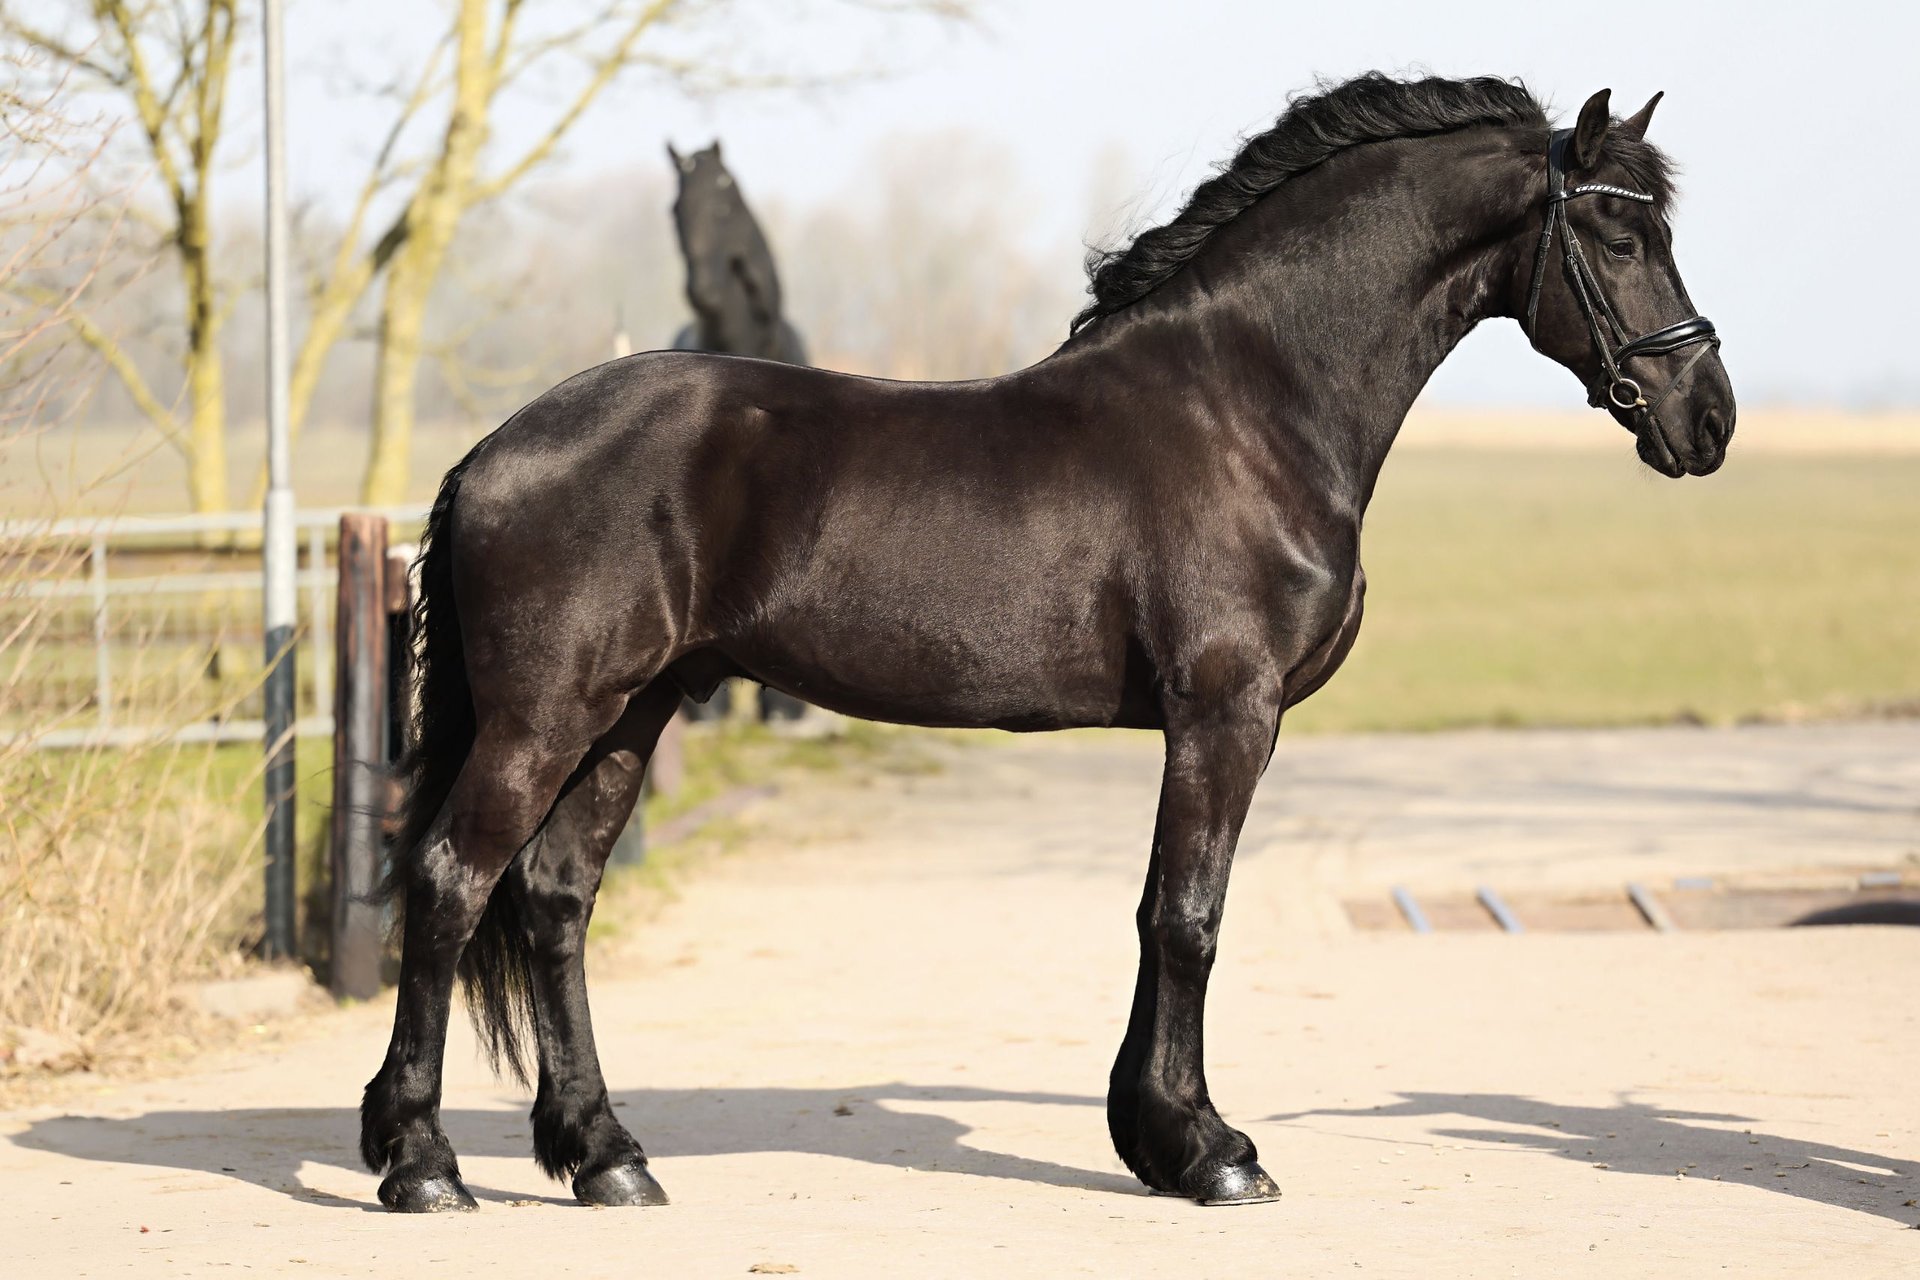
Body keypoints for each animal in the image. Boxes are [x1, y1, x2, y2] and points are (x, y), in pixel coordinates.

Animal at [360, 73, 1733, 1213]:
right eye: (1622, 238)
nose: (1708, 418)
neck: (1249, 406)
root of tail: (491, 451)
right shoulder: (1226, 711)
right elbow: (1189, 915)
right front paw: (1210, 1150)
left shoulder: (1208, 721)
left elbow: (1157, 908)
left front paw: (1158, 1133)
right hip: (548, 716)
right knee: (450, 878)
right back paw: (421, 1162)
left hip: (632, 712)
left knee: (552, 897)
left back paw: (606, 1157)